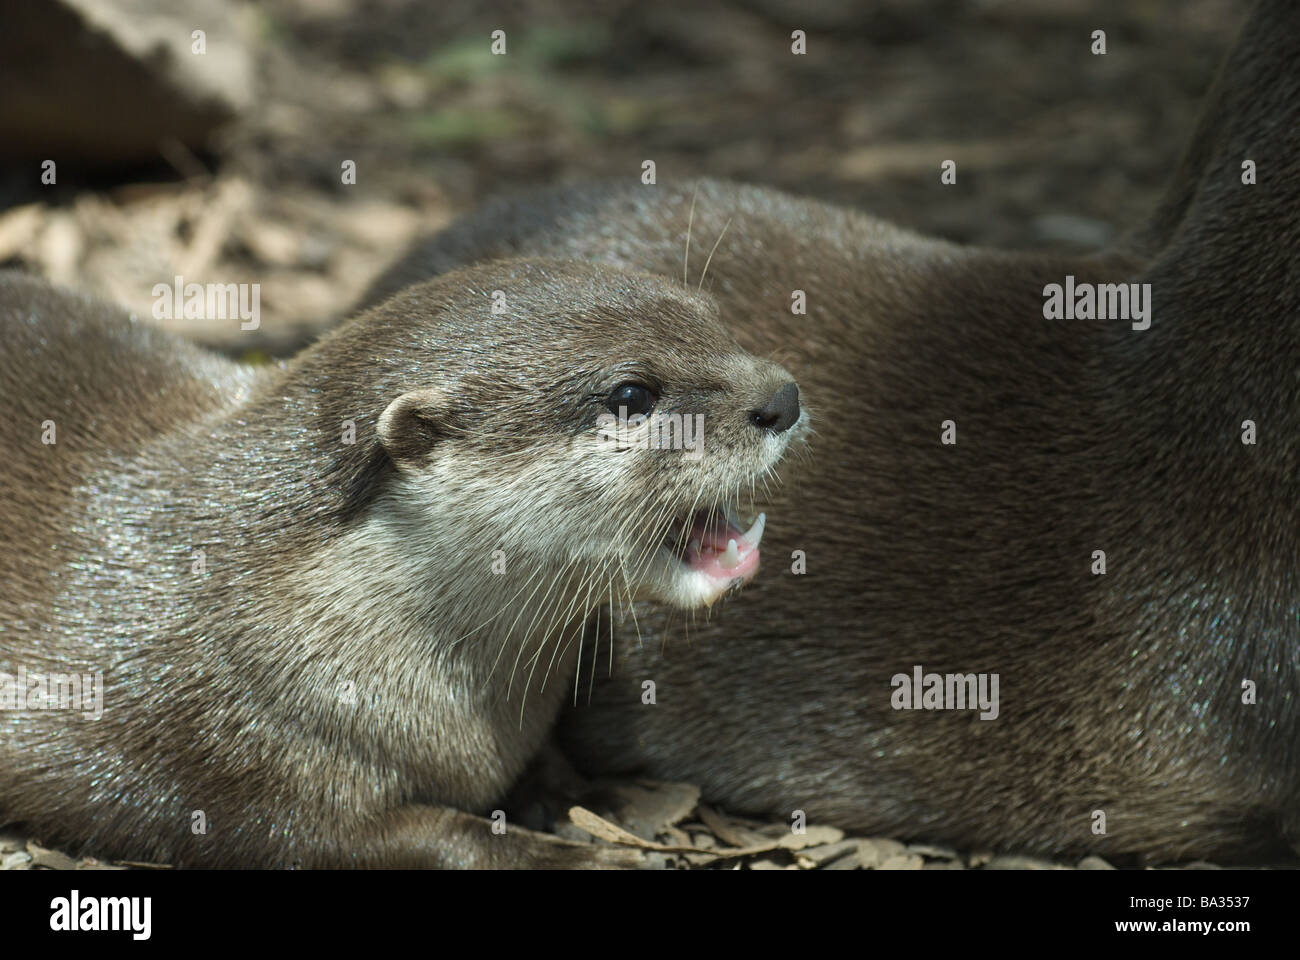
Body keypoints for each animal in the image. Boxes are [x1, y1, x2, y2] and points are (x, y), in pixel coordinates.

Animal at [0, 259, 805, 867]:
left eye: (713, 319)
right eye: (632, 394)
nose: (783, 396)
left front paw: (600, 795)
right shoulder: (236, 762)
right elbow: (411, 838)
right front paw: (573, 855)